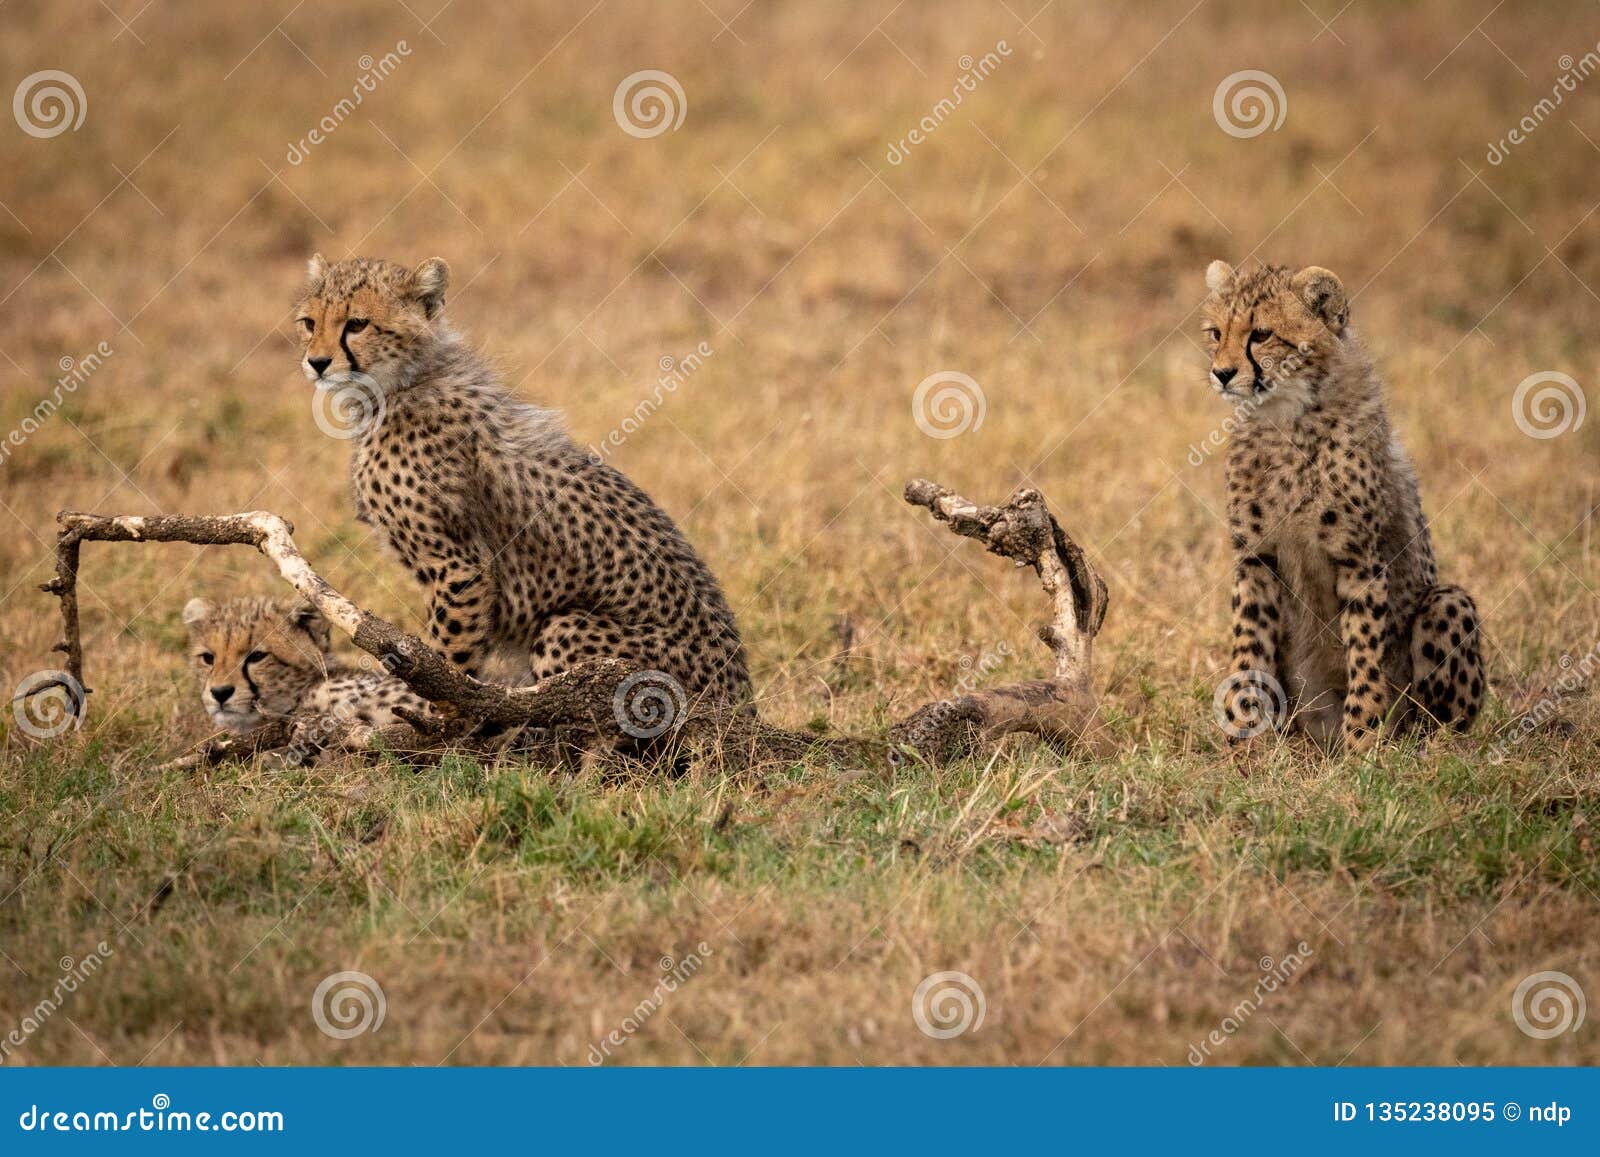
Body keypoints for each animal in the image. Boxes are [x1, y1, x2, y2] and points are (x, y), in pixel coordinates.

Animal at [291, 254, 751, 726]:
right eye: (309, 322)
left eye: (357, 324)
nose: (318, 362)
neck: (402, 384)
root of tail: (740, 701)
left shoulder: (459, 568)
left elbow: (447, 662)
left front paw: (433, 722)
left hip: (567, 629)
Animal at [1199, 260, 1483, 751]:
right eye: (1216, 333)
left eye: (1261, 334)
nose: (1222, 373)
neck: (1285, 418)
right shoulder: (1256, 557)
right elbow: (1248, 646)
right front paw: (1244, 740)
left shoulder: (1359, 560)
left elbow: (1365, 656)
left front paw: (1363, 743)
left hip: (1448, 603)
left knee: (1439, 720)